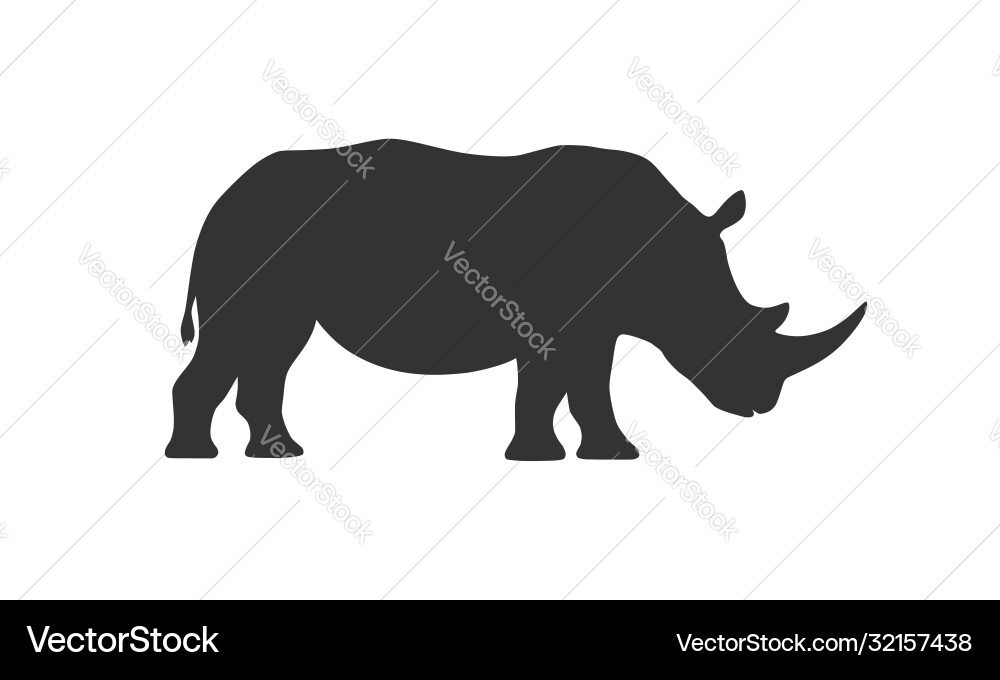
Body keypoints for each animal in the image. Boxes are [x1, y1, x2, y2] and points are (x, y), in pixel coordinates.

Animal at [165, 140, 866, 461]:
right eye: (732, 336)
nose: (763, 406)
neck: (669, 264)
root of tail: (219, 203)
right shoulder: (562, 318)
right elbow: (569, 383)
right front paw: (595, 456)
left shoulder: (585, 322)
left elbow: (564, 384)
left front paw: (565, 456)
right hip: (258, 241)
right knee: (245, 338)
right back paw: (196, 459)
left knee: (274, 345)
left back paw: (278, 454)